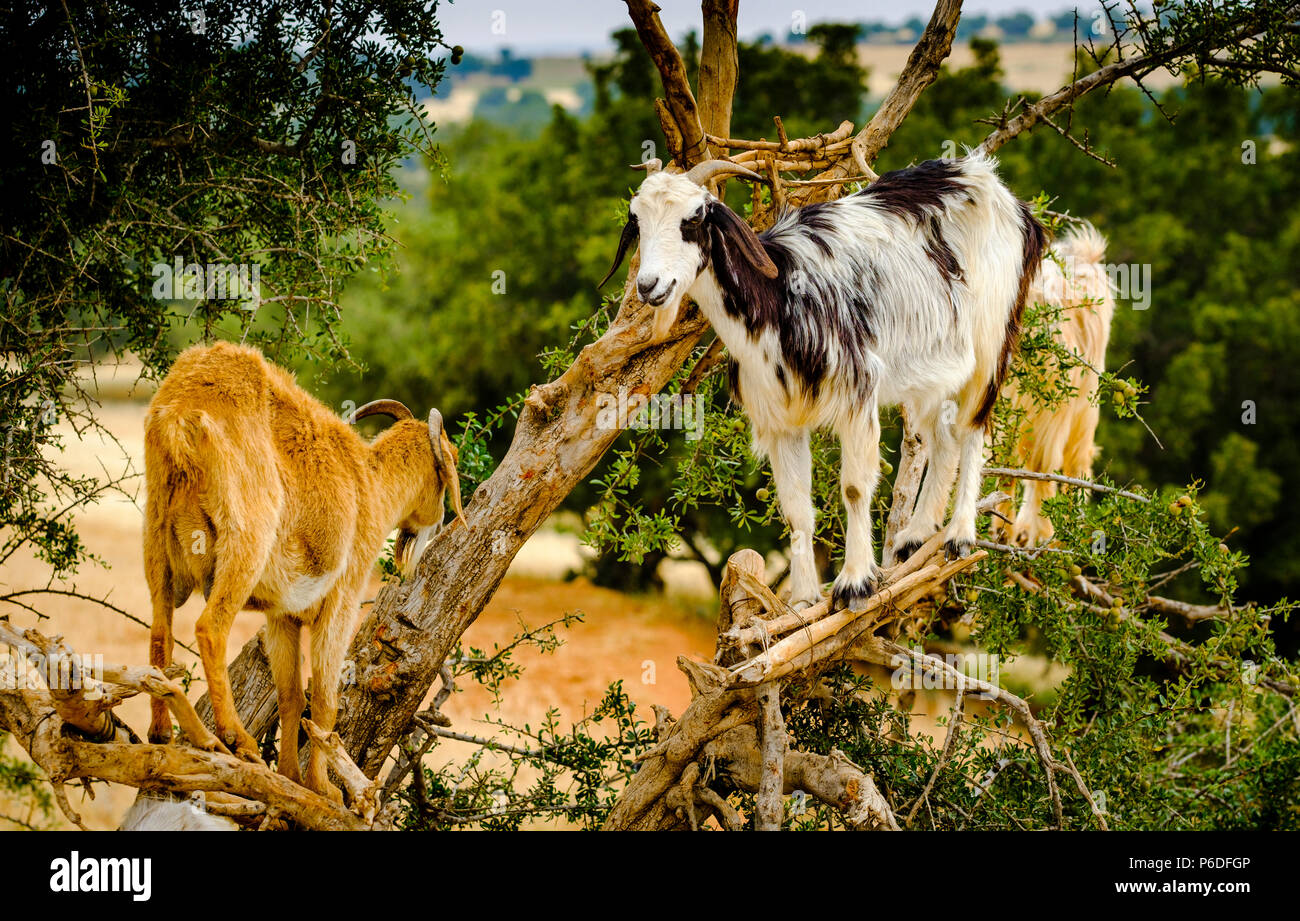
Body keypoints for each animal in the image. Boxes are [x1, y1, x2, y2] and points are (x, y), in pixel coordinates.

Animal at [143, 342, 464, 799]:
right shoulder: (341, 603)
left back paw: (160, 733)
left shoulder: (283, 616)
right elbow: (326, 700)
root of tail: (178, 417)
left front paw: (291, 776)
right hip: (246, 541)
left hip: (155, 539)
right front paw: (324, 787)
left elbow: (292, 694)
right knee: (210, 628)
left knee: (159, 634)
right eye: (445, 473)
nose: (436, 526)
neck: (367, 484)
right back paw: (231, 739)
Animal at [602, 153, 1045, 610]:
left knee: (974, 429)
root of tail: (1010, 200)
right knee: (943, 438)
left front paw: (855, 582)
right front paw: (802, 599)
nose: (649, 286)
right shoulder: (781, 419)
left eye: (692, 219)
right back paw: (918, 534)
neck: (779, 298)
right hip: (934, 368)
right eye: (637, 221)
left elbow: (854, 488)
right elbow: (796, 509)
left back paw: (959, 535)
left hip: (993, 336)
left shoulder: (857, 392)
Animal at [998, 224, 1114, 547]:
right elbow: (1004, 465)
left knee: (1076, 464)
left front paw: (1036, 533)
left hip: (1084, 408)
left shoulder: (1052, 414)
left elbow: (1041, 468)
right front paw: (1000, 530)